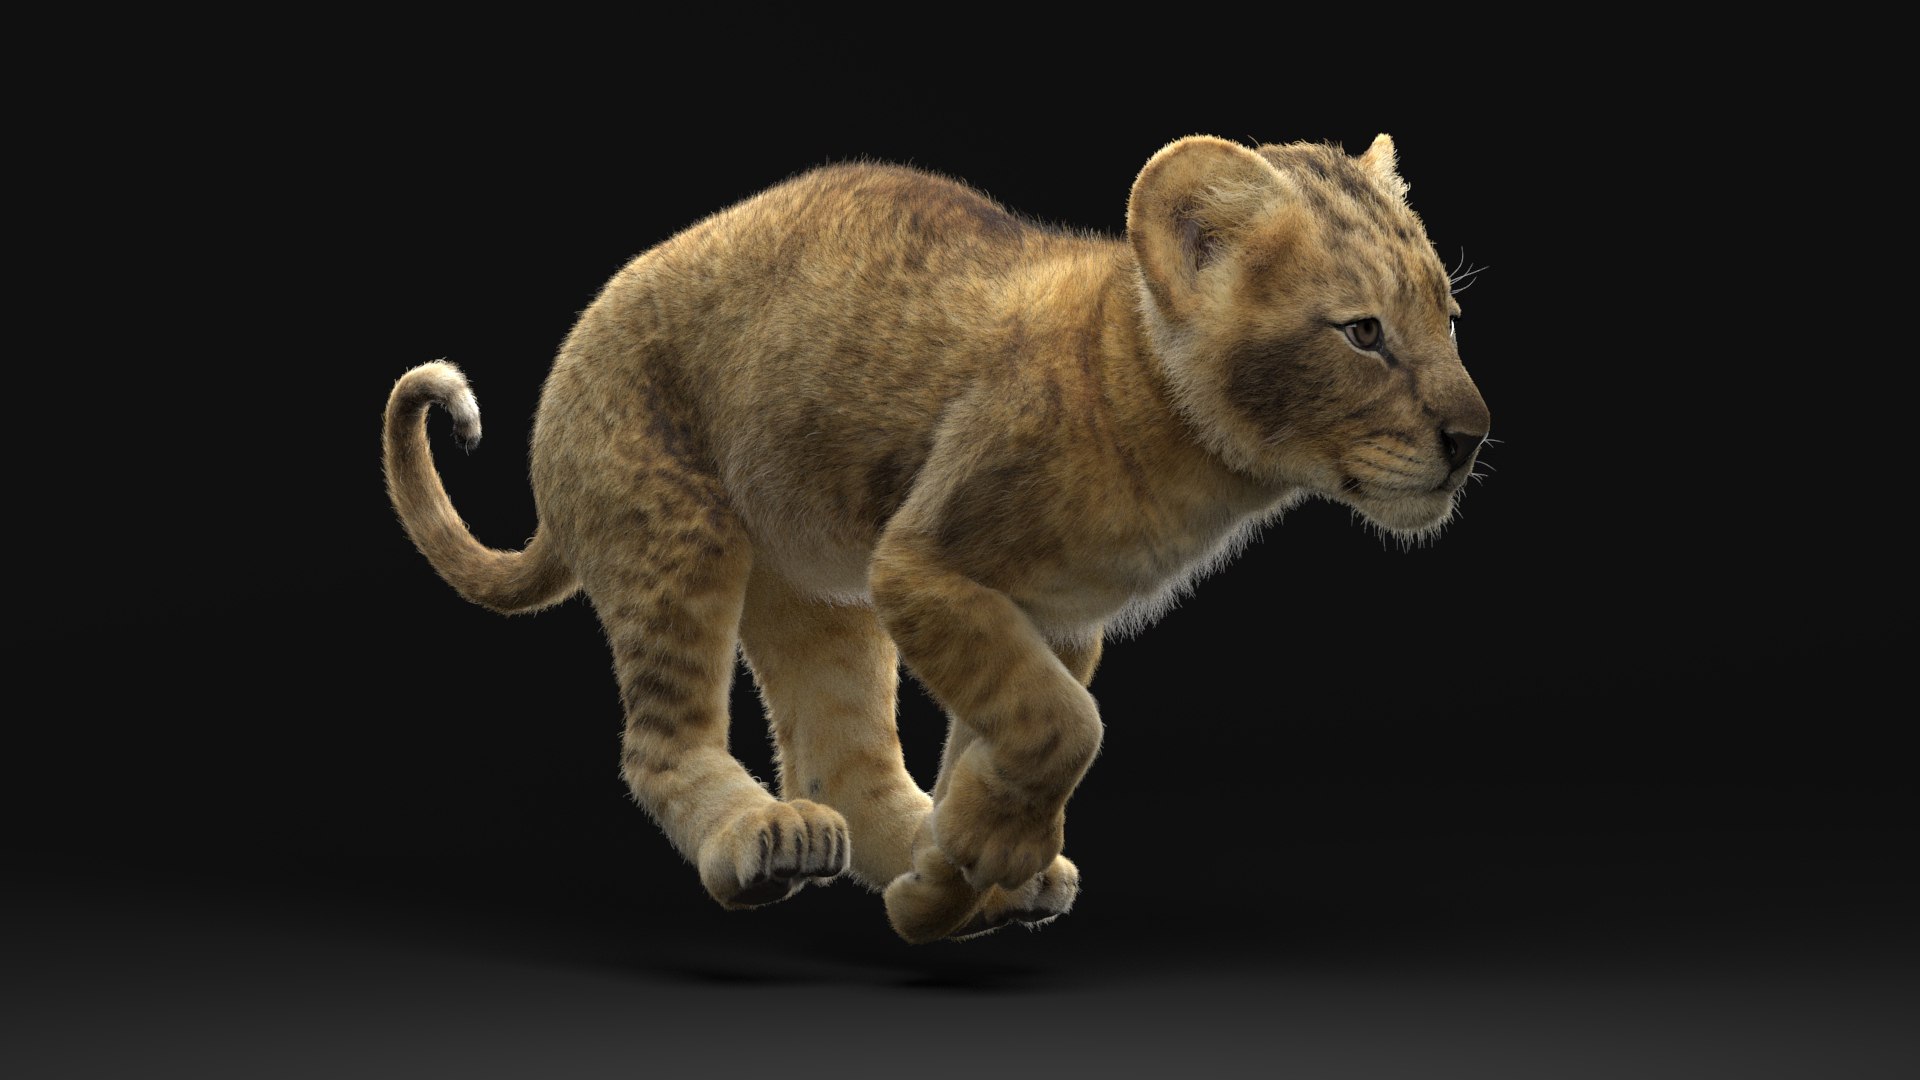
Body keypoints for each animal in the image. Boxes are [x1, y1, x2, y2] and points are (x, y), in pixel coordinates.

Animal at [382, 133, 1490, 943]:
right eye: (1362, 333)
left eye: (1447, 316)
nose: (1471, 438)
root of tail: (573, 349)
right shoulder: (922, 562)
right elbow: (1065, 726)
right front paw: (980, 861)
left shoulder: (1048, 614)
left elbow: (1002, 733)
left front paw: (960, 865)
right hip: (674, 531)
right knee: (662, 742)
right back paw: (758, 837)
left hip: (819, 593)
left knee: (846, 755)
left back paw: (889, 844)